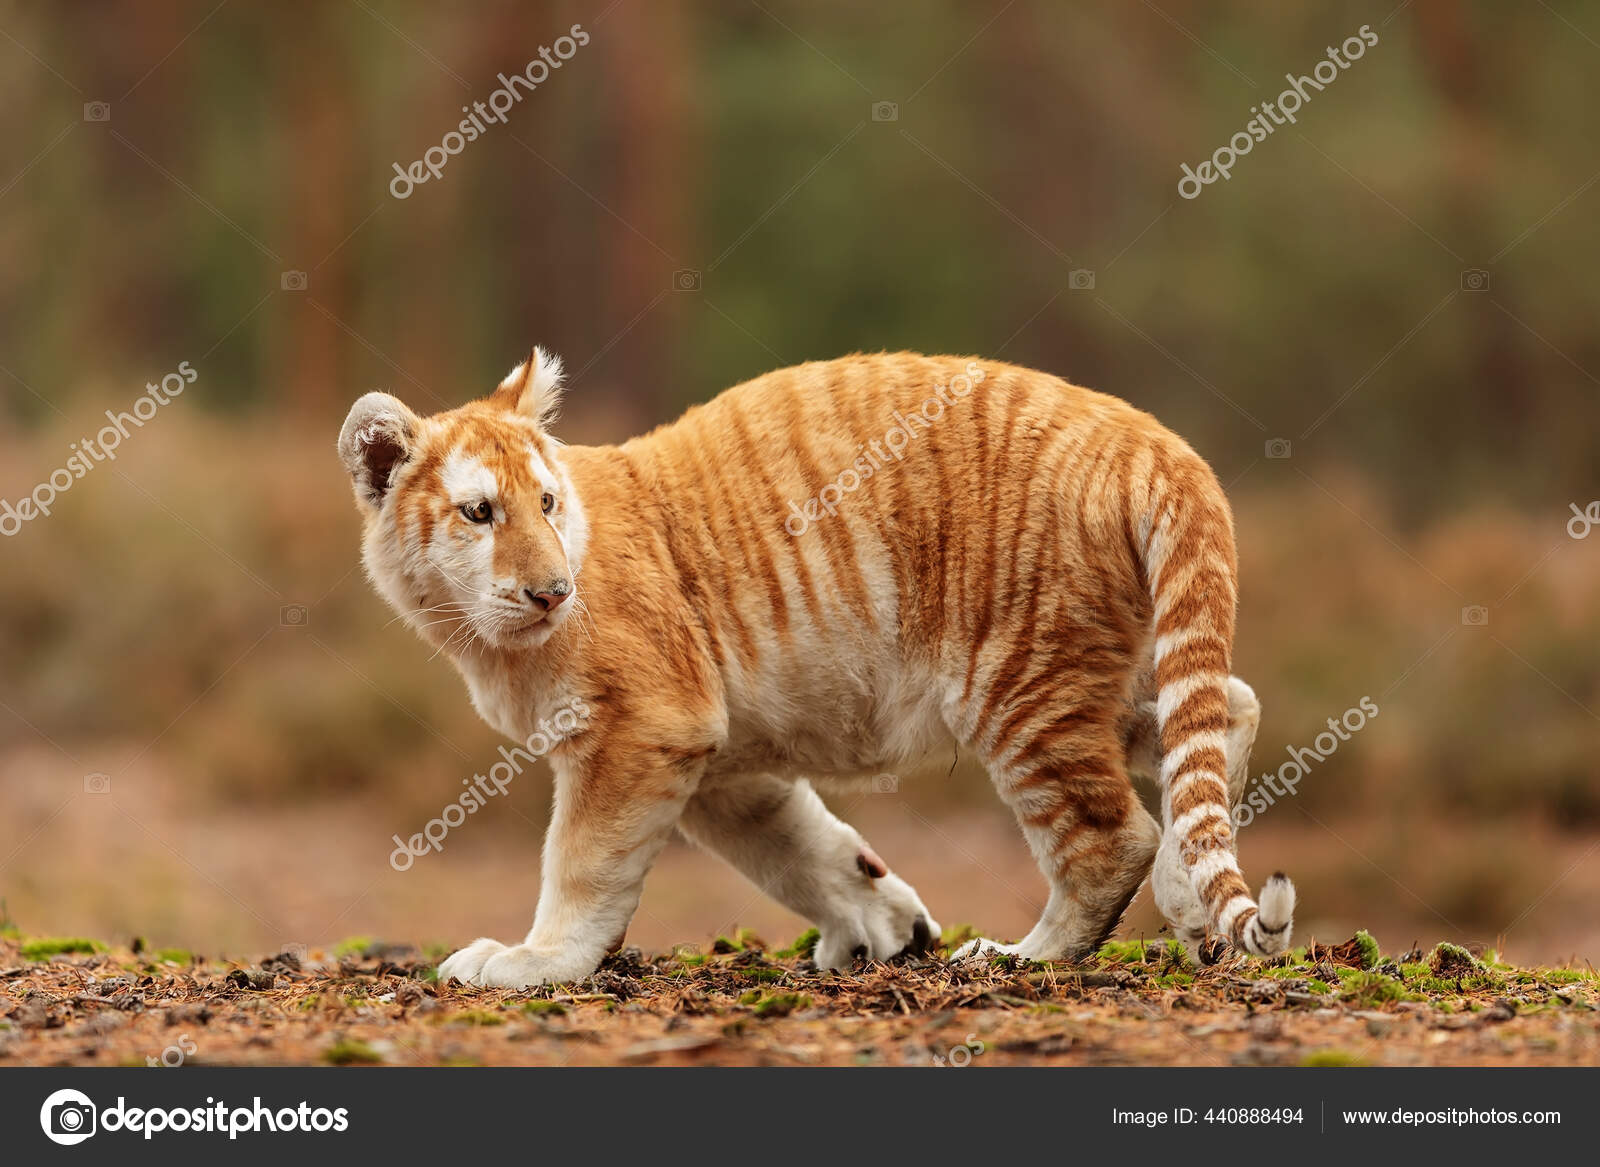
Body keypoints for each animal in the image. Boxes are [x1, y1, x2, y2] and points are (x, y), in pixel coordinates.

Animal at [338, 348, 1294, 988]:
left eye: (543, 502)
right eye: (479, 513)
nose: (553, 591)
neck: (483, 636)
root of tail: (1152, 440)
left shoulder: (642, 726)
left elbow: (583, 862)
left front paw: (531, 961)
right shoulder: (717, 758)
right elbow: (804, 850)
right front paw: (888, 925)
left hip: (1018, 686)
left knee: (1111, 835)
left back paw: (1020, 956)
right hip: (1100, 674)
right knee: (1226, 711)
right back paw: (1186, 902)